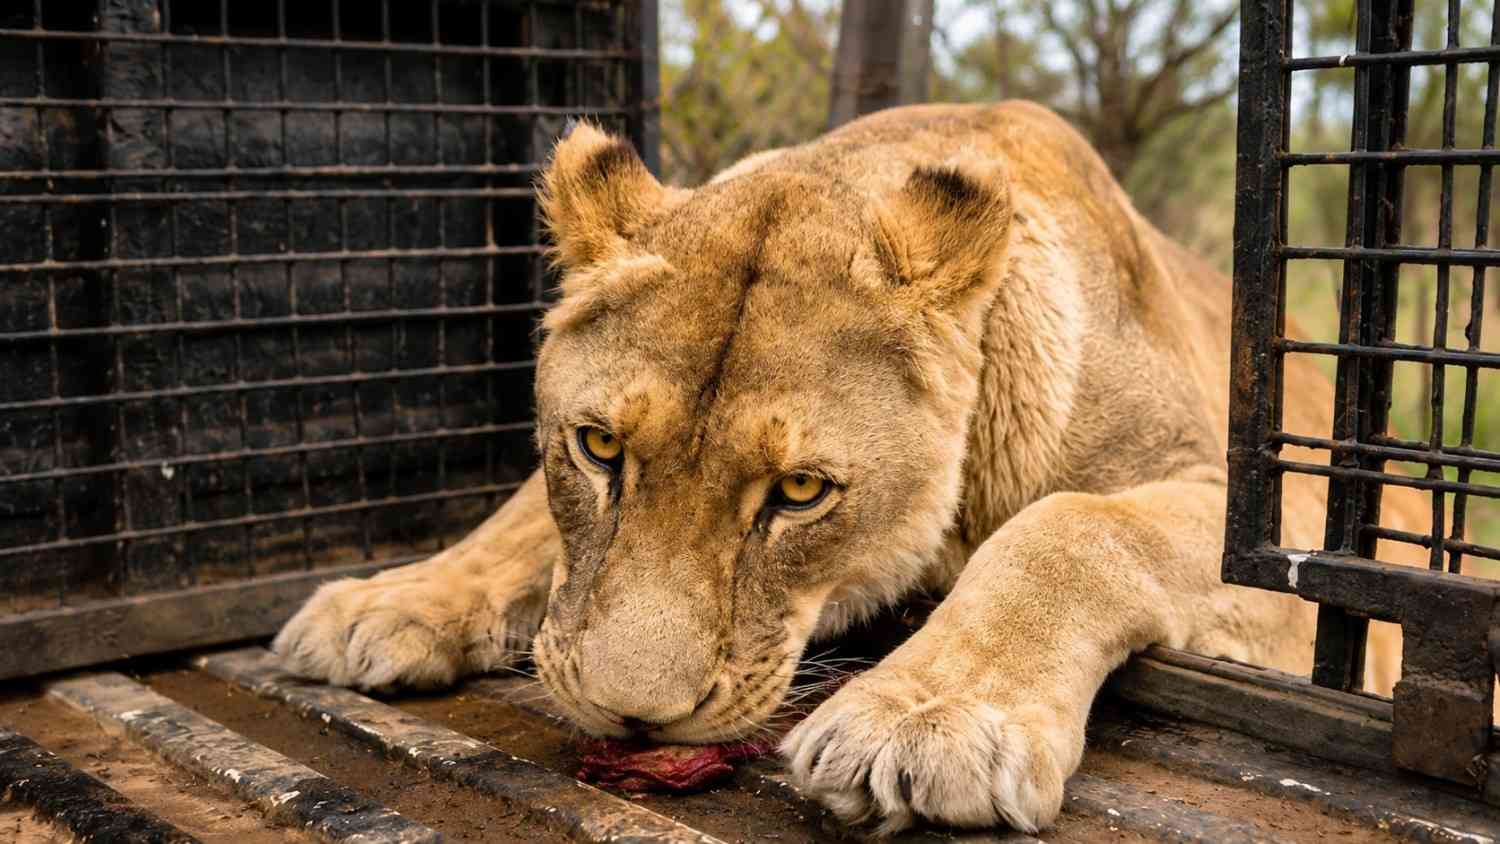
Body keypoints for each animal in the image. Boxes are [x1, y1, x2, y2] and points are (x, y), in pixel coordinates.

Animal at [272, 102, 1424, 834]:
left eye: (799, 493)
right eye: (597, 447)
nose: (633, 717)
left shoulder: (1260, 528)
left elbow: (1072, 524)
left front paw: (928, 722)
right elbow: (519, 521)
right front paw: (393, 598)